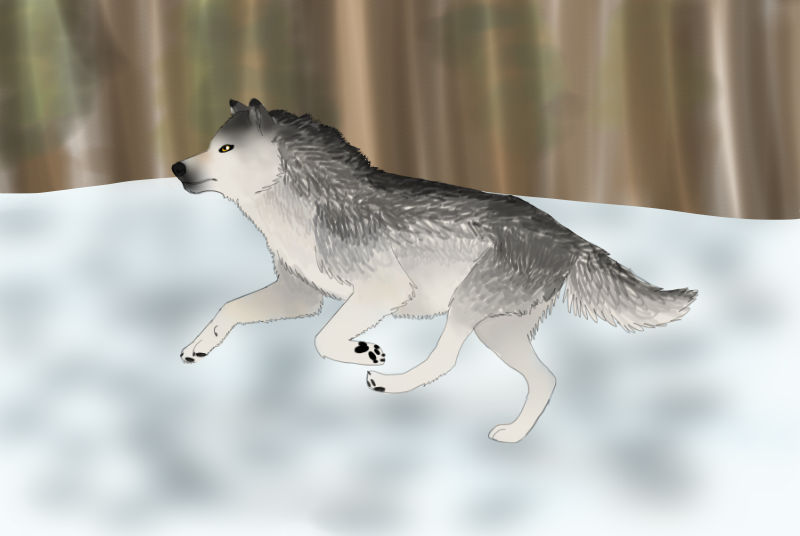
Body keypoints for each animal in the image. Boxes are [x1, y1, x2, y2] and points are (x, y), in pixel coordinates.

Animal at [171, 98, 697, 443]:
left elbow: (322, 340)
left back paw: (390, 381)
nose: (176, 166)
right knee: (546, 380)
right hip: (495, 332)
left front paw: (364, 351)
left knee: (446, 361)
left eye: (225, 149)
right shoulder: (300, 295)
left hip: (467, 309)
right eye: (212, 145)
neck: (300, 207)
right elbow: (228, 309)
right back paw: (514, 435)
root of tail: (571, 237)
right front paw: (198, 347)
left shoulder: (382, 290)